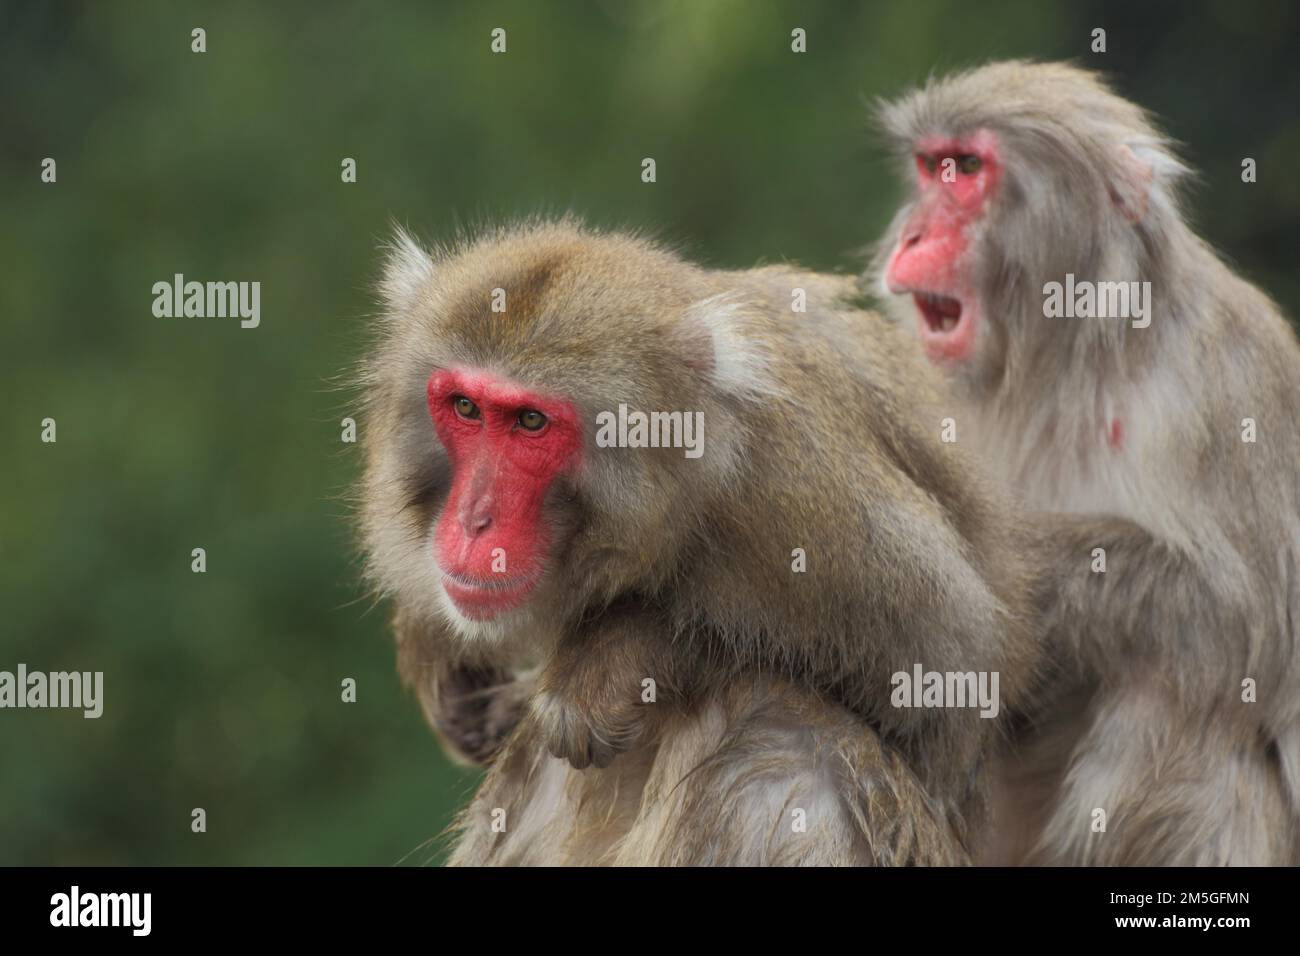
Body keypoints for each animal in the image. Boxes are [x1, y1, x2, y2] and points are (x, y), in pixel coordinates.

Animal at [357, 218, 1040, 863]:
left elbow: (950, 675)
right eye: (466, 408)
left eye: (530, 421)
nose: (473, 520)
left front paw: (618, 656)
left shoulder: (807, 508)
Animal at [870, 60, 1300, 865]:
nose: (910, 232)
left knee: (1187, 686)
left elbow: (1253, 620)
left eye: (965, 170)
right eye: (928, 168)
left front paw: (1013, 555)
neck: (1060, 365)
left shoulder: (1222, 388)